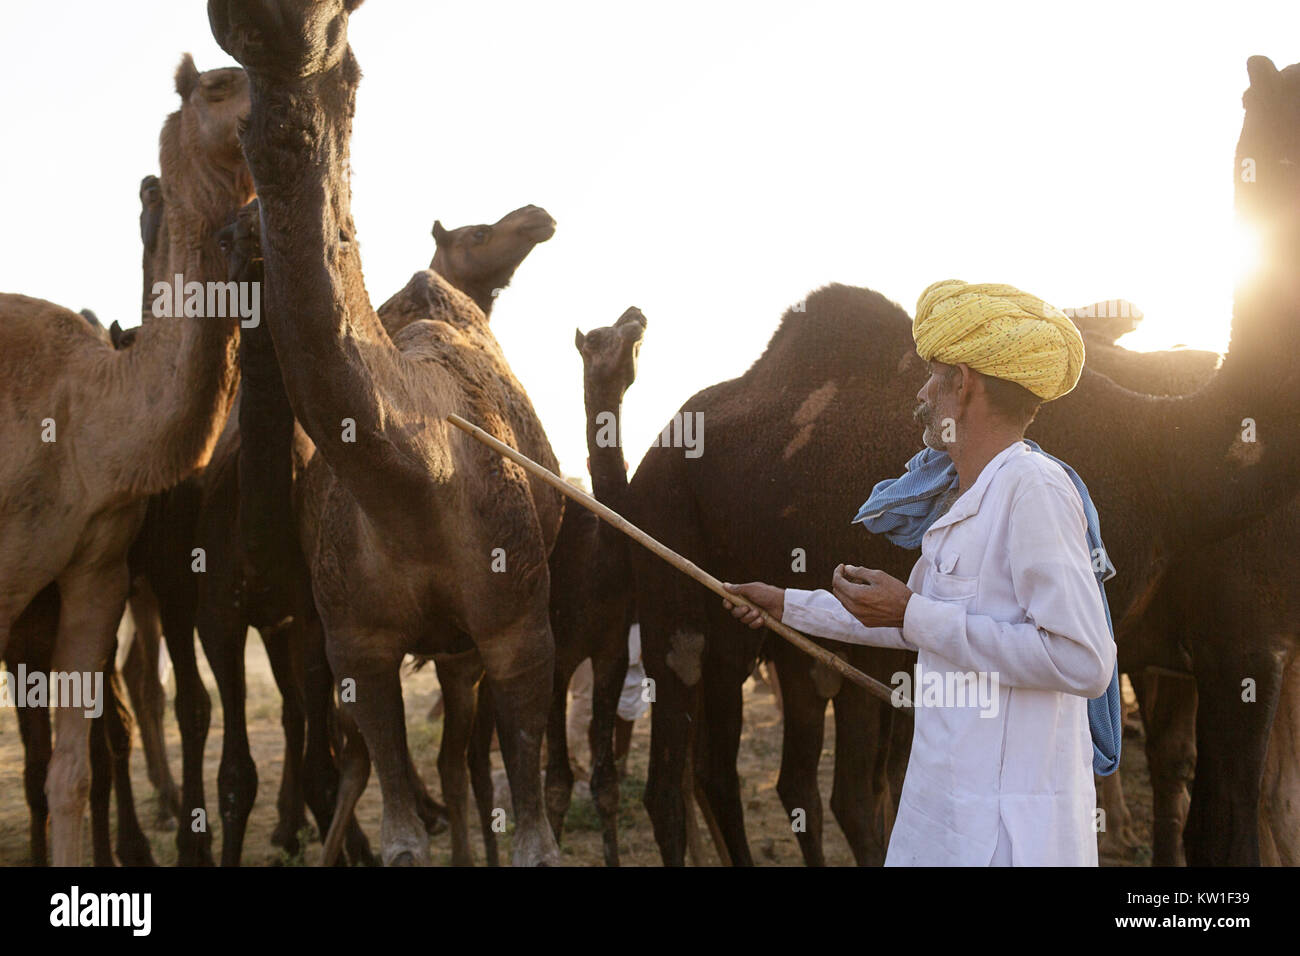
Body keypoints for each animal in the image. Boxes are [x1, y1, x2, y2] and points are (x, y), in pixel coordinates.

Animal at [209, 0, 564, 866]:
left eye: (336, 19)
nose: (538, 213)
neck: (415, 482)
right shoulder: (355, 643)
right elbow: (400, 831)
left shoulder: (518, 632)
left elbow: (536, 834)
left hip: (469, 648)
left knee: (464, 754)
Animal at [627, 53, 1300, 866]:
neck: (1159, 457)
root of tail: (657, 449)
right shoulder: (1240, 646)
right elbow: (1229, 818)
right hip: (667, 572)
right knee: (673, 774)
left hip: (736, 624)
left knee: (723, 764)